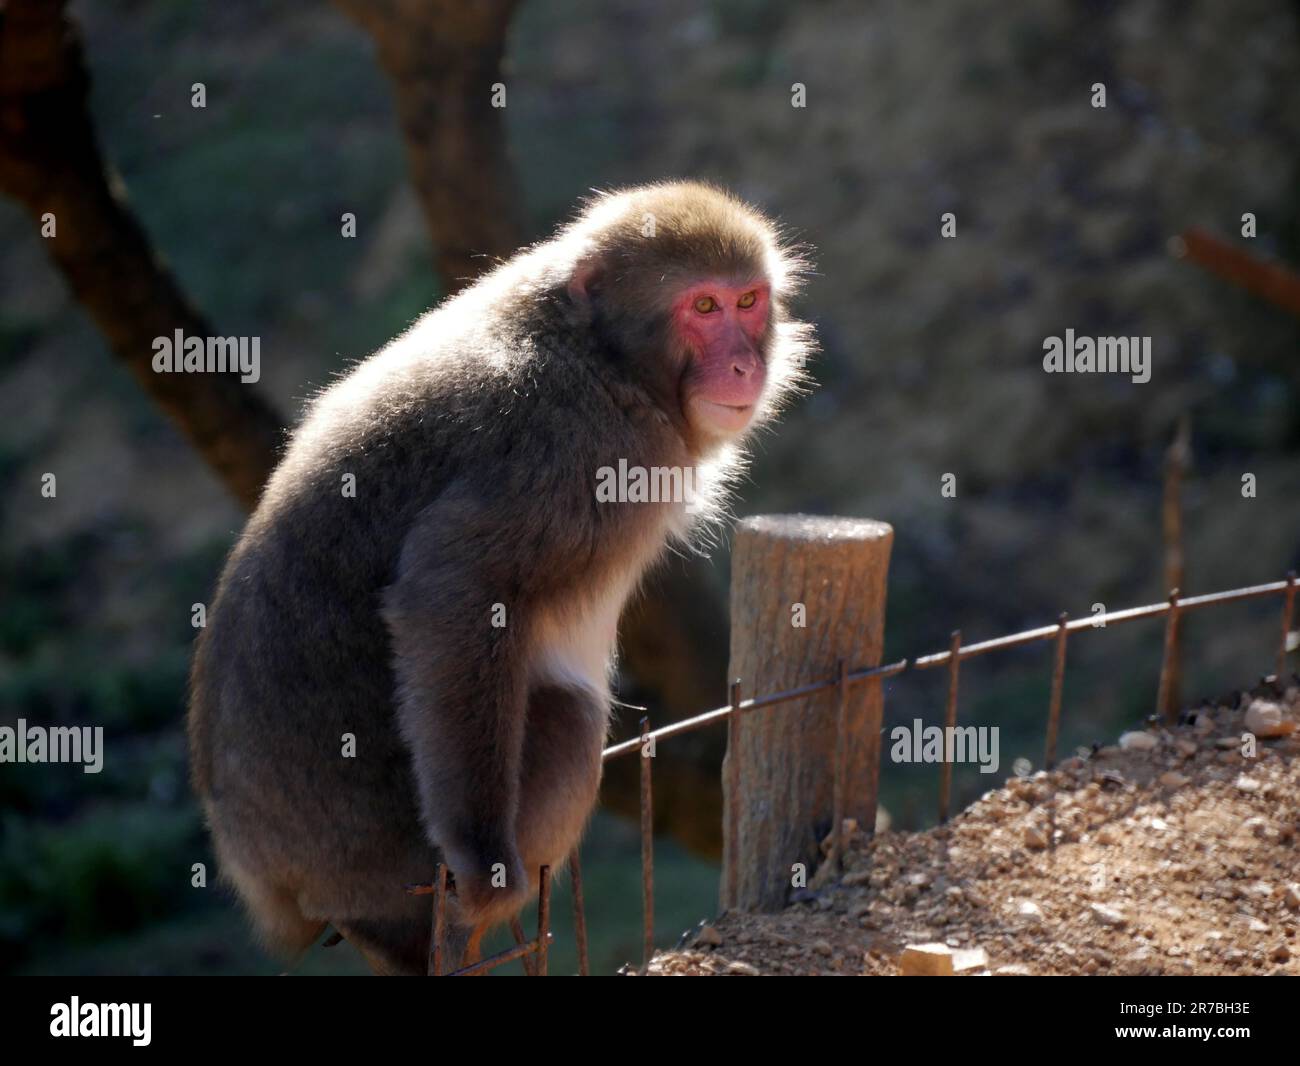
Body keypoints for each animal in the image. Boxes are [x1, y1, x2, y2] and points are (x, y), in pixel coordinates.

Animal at [187, 180, 814, 974]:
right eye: (703, 307)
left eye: (748, 302)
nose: (743, 366)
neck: (603, 358)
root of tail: (267, 883)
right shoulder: (577, 450)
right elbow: (451, 588)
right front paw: (486, 865)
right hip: (386, 867)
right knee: (570, 717)